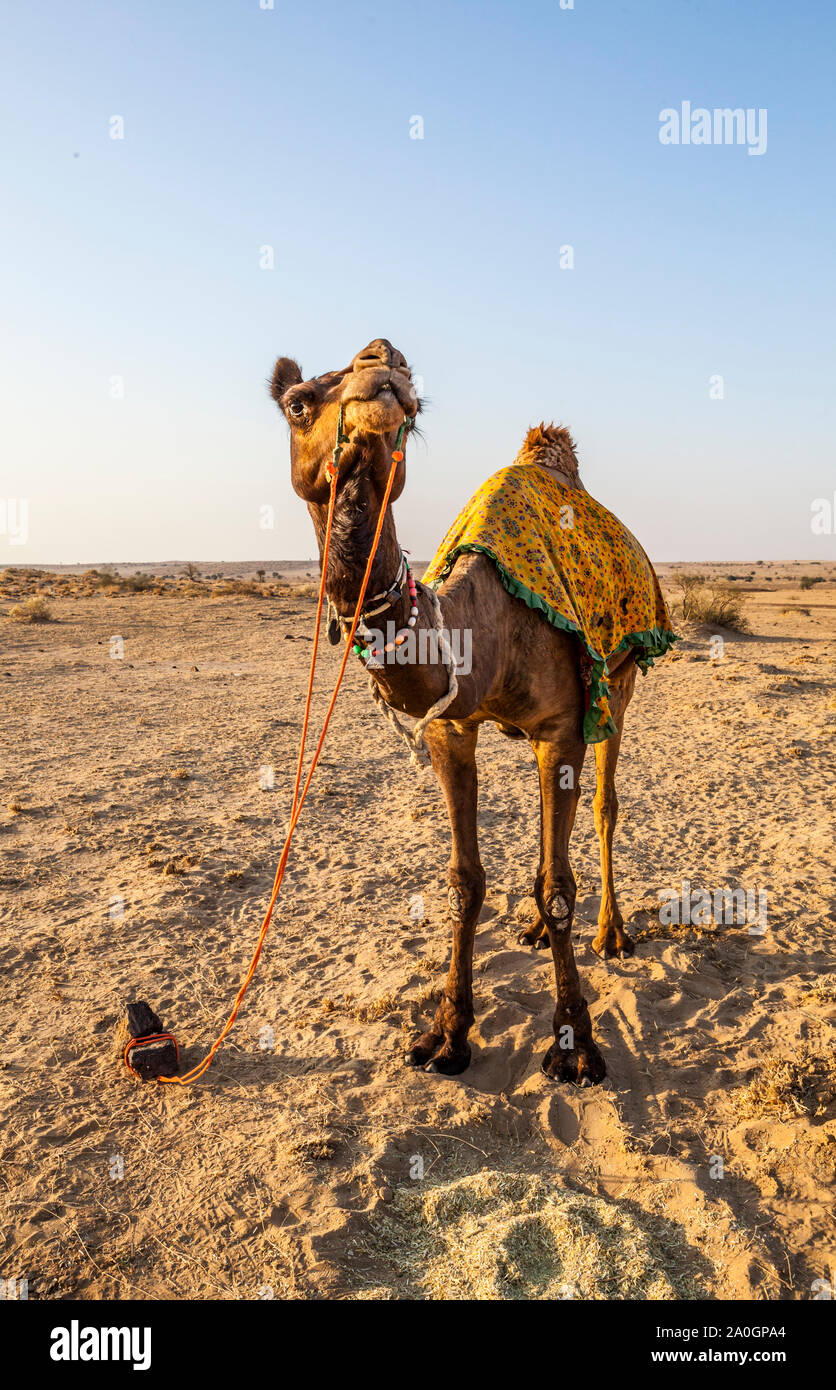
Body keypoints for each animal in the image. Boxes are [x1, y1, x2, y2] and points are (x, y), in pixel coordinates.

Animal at [270, 337, 656, 1087]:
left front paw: (575, 1044)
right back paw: (533, 930)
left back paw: (611, 932)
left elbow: (559, 884)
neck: (482, 623)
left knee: (604, 805)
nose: (381, 361)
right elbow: (464, 880)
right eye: (298, 403)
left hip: (617, 688)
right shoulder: (452, 728)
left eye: (414, 409)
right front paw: (447, 1033)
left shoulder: (561, 729)